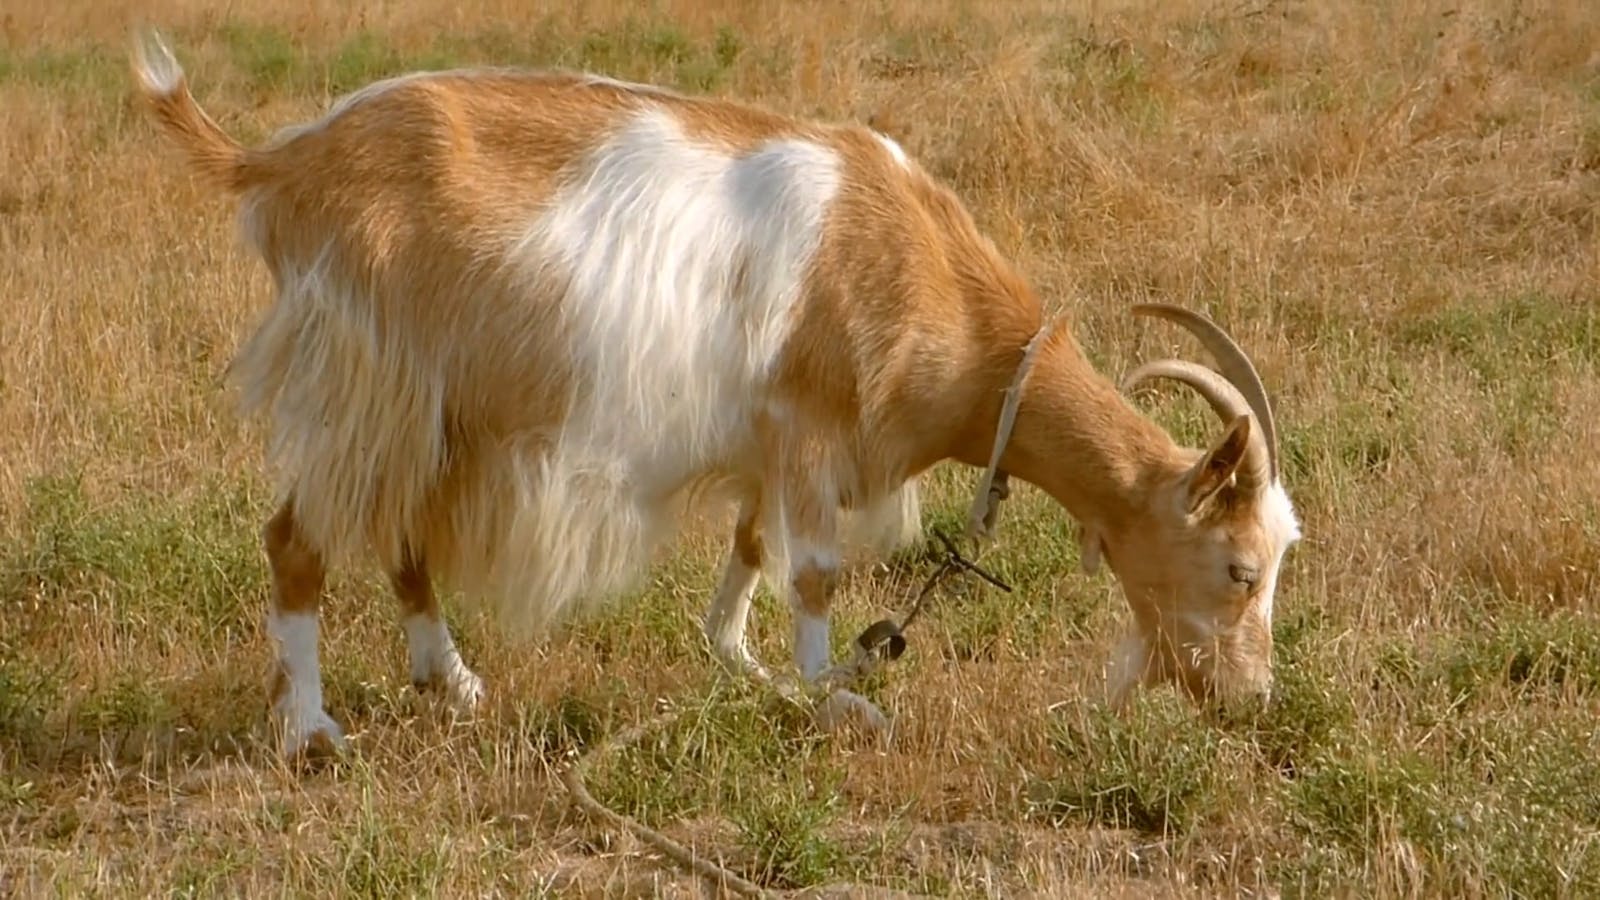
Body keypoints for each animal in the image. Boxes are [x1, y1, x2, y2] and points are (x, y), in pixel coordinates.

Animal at [129, 30, 1300, 758]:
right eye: (1238, 568)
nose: (1253, 700)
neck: (932, 280)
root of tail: (279, 163)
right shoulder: (816, 428)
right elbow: (816, 575)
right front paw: (836, 702)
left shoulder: (773, 442)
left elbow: (748, 551)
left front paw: (746, 670)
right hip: (368, 384)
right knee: (297, 539)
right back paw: (310, 733)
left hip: (441, 410)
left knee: (406, 534)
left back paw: (451, 683)